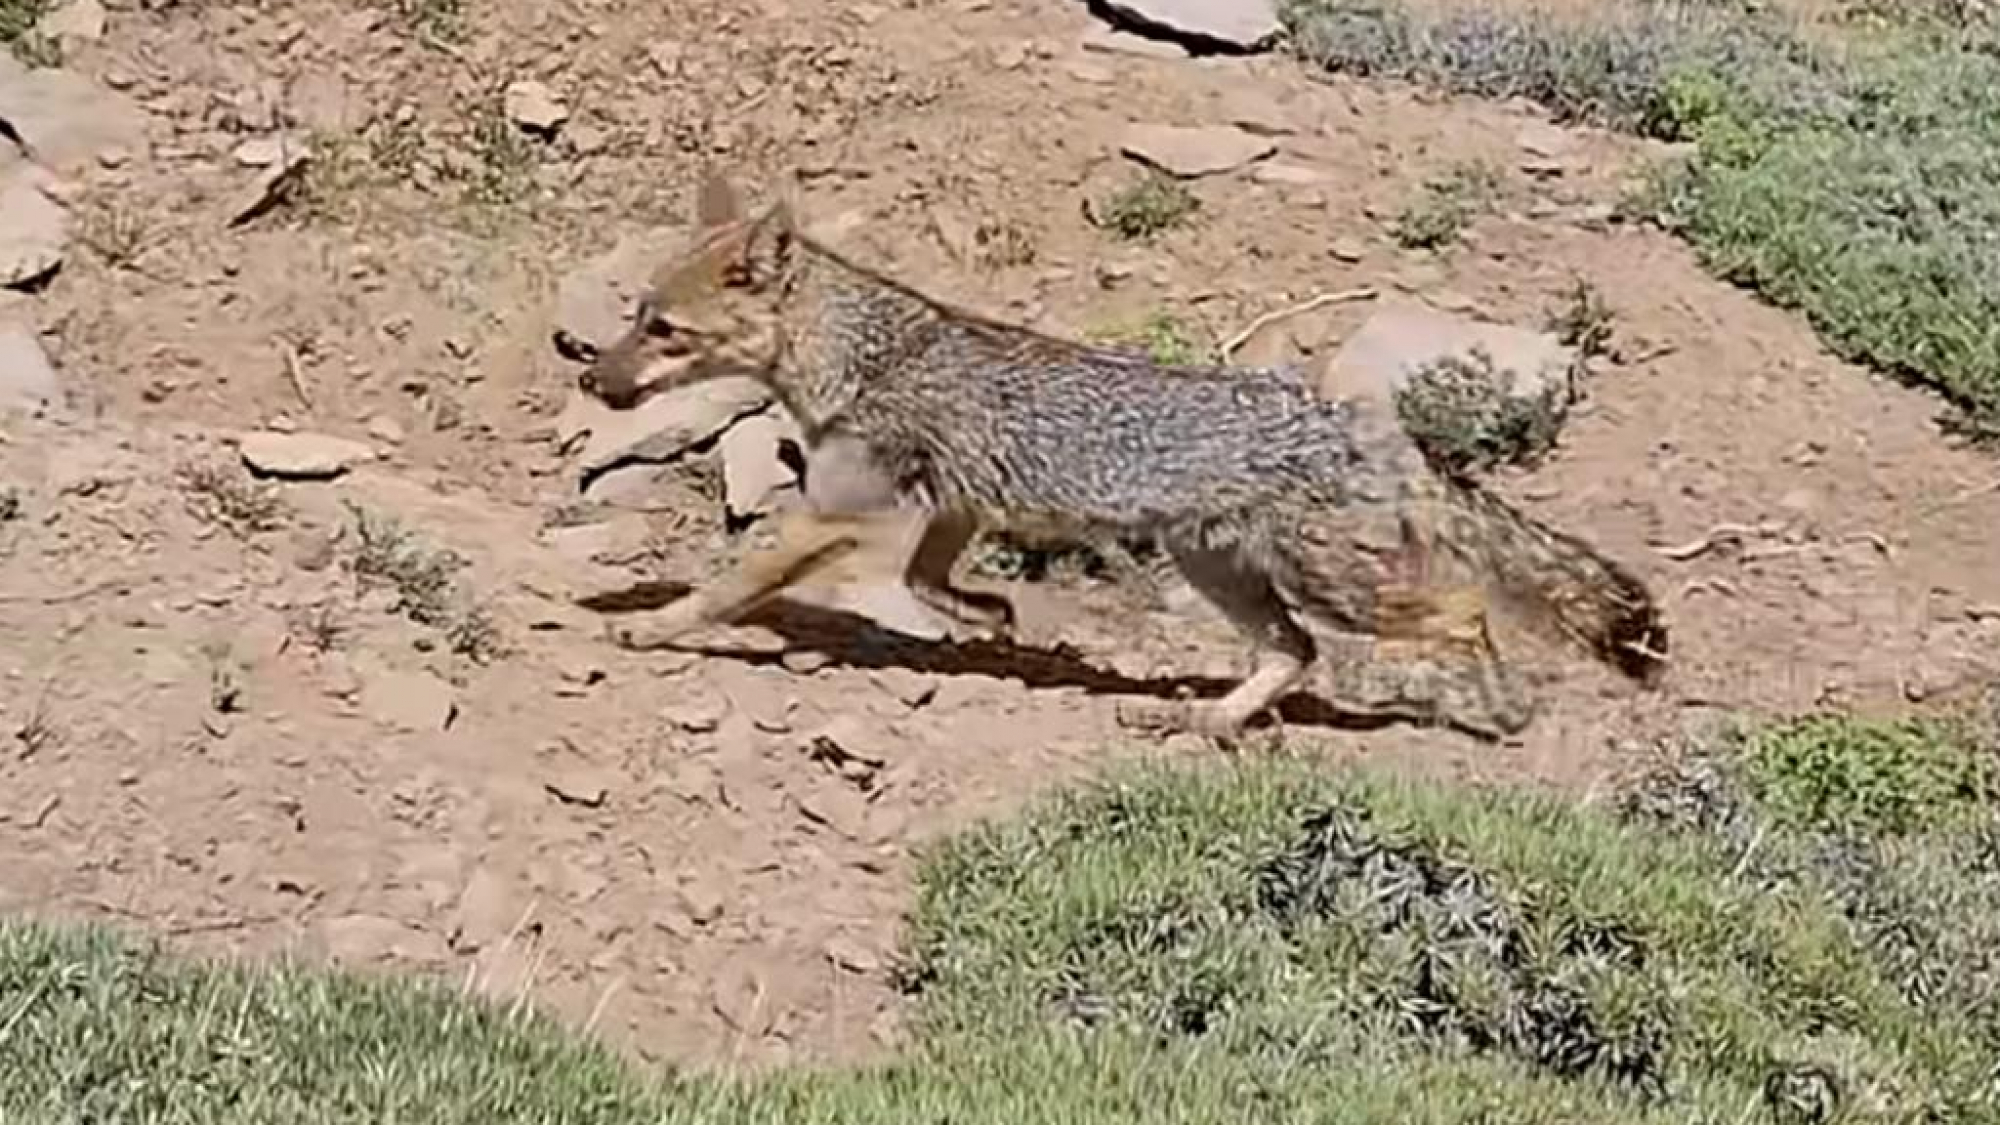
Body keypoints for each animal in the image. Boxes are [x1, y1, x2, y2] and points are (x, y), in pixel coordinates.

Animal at [567, 171, 1668, 738]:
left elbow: (726, 587)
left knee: (1460, 607)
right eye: (635, 317)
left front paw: (652, 628)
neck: (866, 351)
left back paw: (1494, 707)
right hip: (1220, 571)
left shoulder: (835, 510)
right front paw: (990, 616)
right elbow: (926, 579)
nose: (593, 381)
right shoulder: (954, 503)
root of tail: (1361, 421)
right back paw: (1208, 722)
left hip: (1337, 585)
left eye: (663, 332)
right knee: (1294, 653)